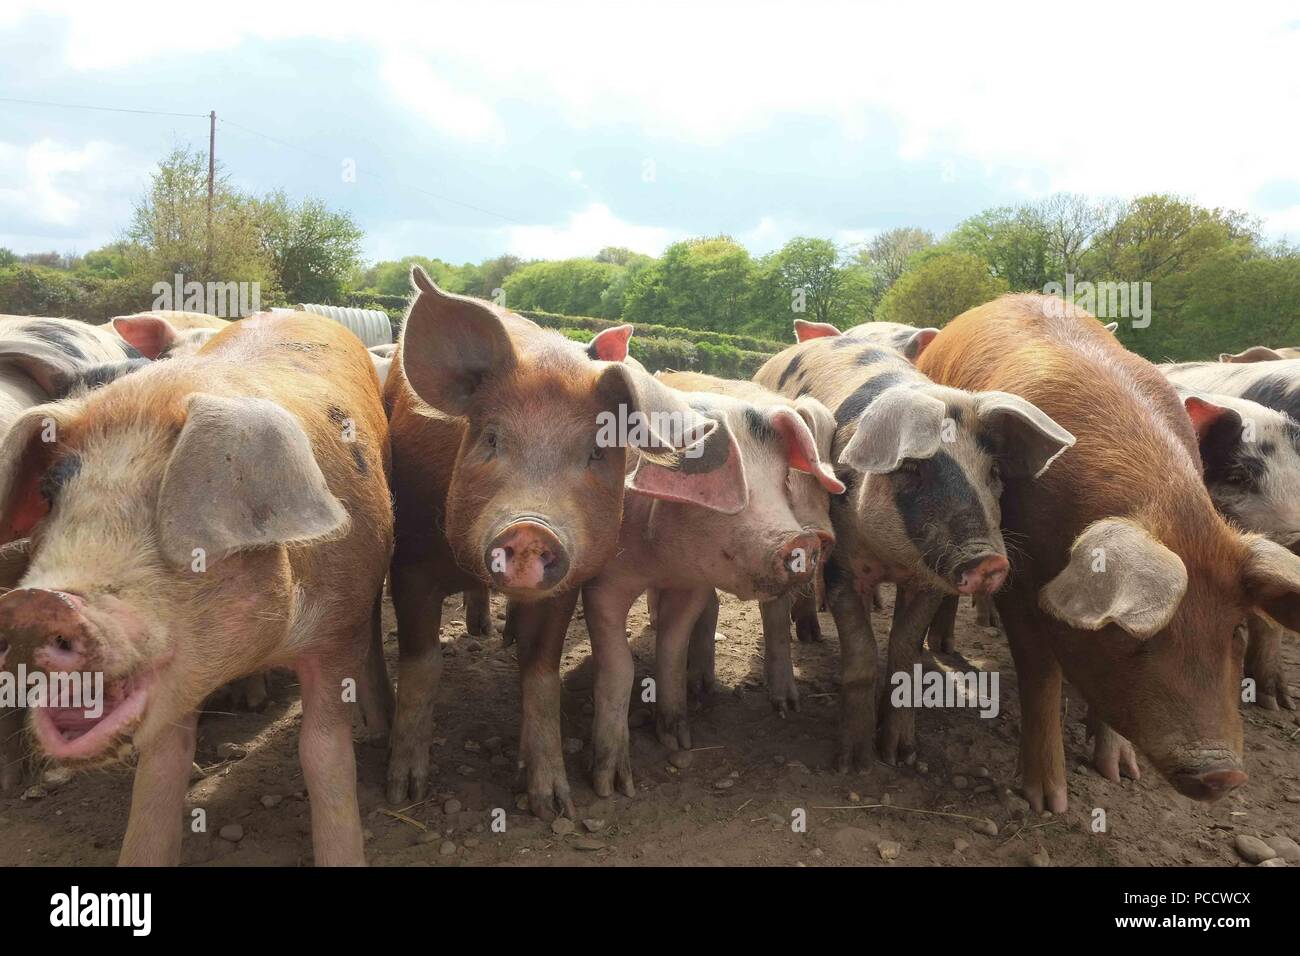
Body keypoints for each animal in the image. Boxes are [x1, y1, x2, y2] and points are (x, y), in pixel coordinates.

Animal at [0, 311, 393, 865]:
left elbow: (324, 754)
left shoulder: (337, 625)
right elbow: (159, 770)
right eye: (52, 494)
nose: (35, 603)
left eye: (173, 494)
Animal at [385, 268, 720, 816]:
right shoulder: (409, 561)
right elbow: (421, 665)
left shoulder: (568, 584)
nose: (530, 529)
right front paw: (404, 790)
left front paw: (552, 804)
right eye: (491, 438)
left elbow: (541, 673)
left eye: (597, 453)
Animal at [755, 331, 1074, 770]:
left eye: (992, 472)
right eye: (910, 468)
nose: (988, 560)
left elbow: (904, 651)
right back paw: (793, 685)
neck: (894, 562)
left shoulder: (928, 582)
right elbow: (861, 655)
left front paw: (900, 756)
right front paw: (854, 764)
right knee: (776, 605)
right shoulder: (842, 568)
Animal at [917, 293, 1300, 812]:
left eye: (1235, 630)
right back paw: (942, 647)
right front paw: (1046, 802)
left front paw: (1120, 773)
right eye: (1138, 637)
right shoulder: (1020, 576)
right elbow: (1040, 672)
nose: (1221, 772)